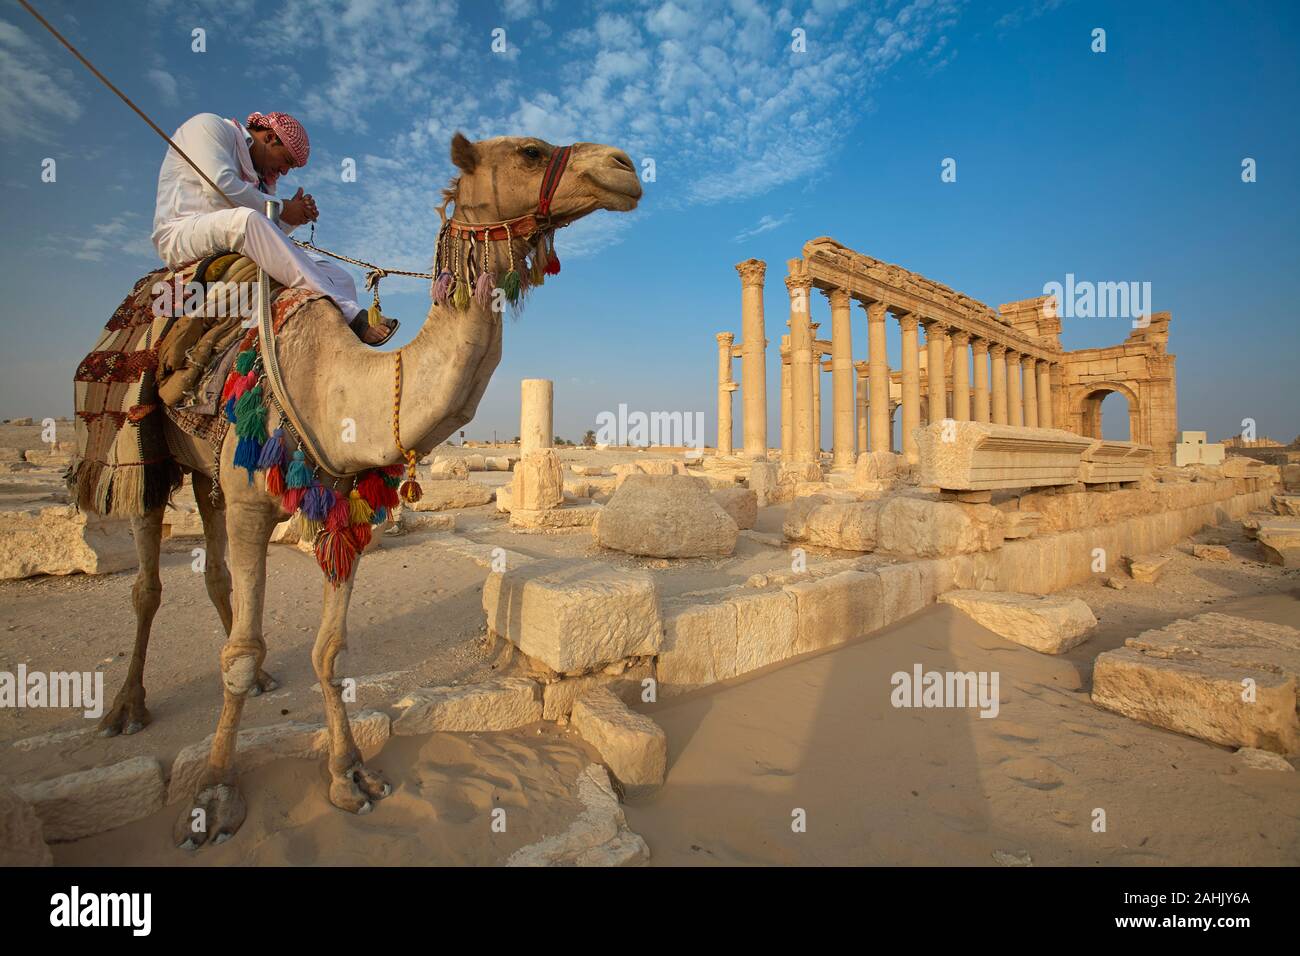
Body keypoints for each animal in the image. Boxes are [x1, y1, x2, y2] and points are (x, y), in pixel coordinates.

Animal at [94, 132, 641, 848]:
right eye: (528, 150)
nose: (625, 169)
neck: (334, 384)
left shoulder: (341, 505)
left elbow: (327, 651)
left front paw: (349, 773)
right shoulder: (252, 499)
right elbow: (237, 651)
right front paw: (213, 795)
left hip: (209, 473)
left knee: (215, 571)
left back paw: (264, 679)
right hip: (141, 450)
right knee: (149, 579)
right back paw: (126, 708)